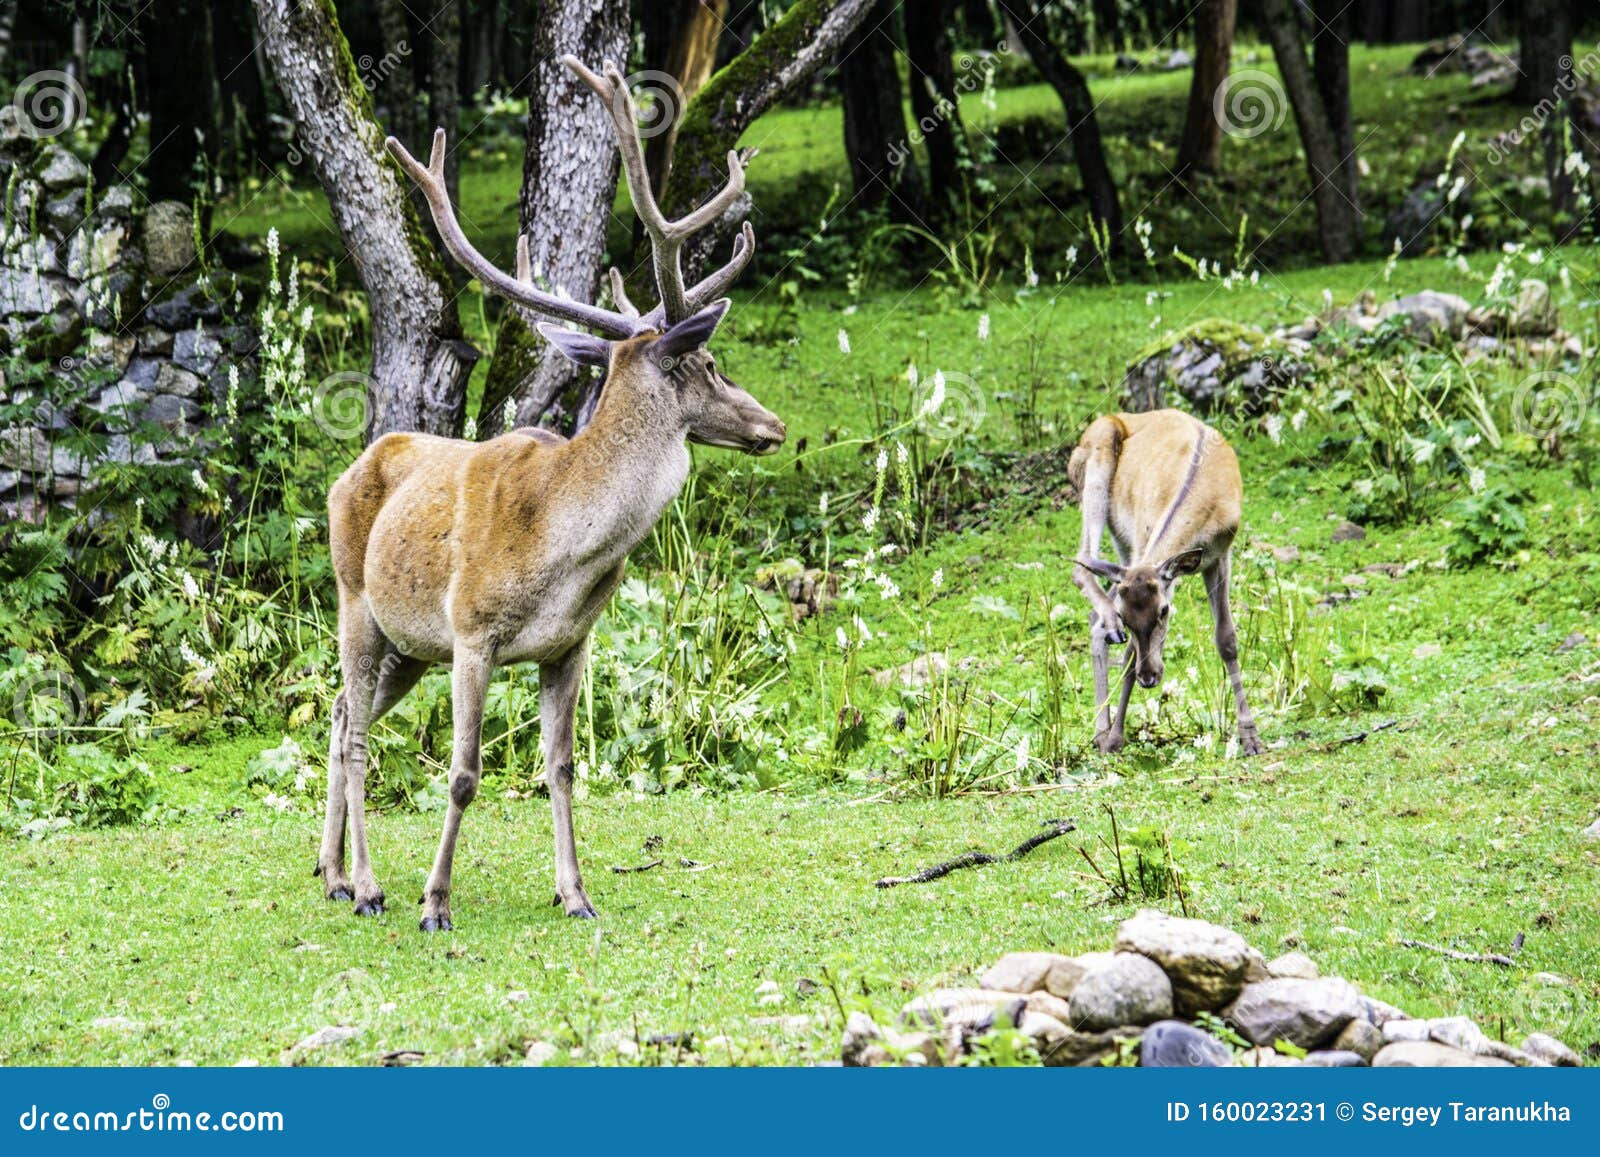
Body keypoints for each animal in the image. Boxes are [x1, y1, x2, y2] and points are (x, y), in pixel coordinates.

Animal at [314, 56, 785, 931]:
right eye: (709, 365)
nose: (770, 423)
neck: (567, 550)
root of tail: (353, 465)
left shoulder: (570, 644)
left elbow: (562, 767)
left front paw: (576, 892)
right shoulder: (471, 632)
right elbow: (464, 772)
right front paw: (436, 902)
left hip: (408, 644)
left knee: (334, 714)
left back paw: (326, 871)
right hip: (356, 601)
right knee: (356, 733)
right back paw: (367, 885)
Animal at [1066, 409, 1265, 758]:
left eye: (1164, 611)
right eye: (1127, 618)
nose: (1148, 678)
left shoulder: (1219, 555)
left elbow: (1227, 640)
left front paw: (1250, 739)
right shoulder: (1141, 538)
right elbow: (1130, 652)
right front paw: (1116, 738)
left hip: (1120, 542)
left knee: (1093, 613)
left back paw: (1100, 729)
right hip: (1094, 466)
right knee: (1083, 563)